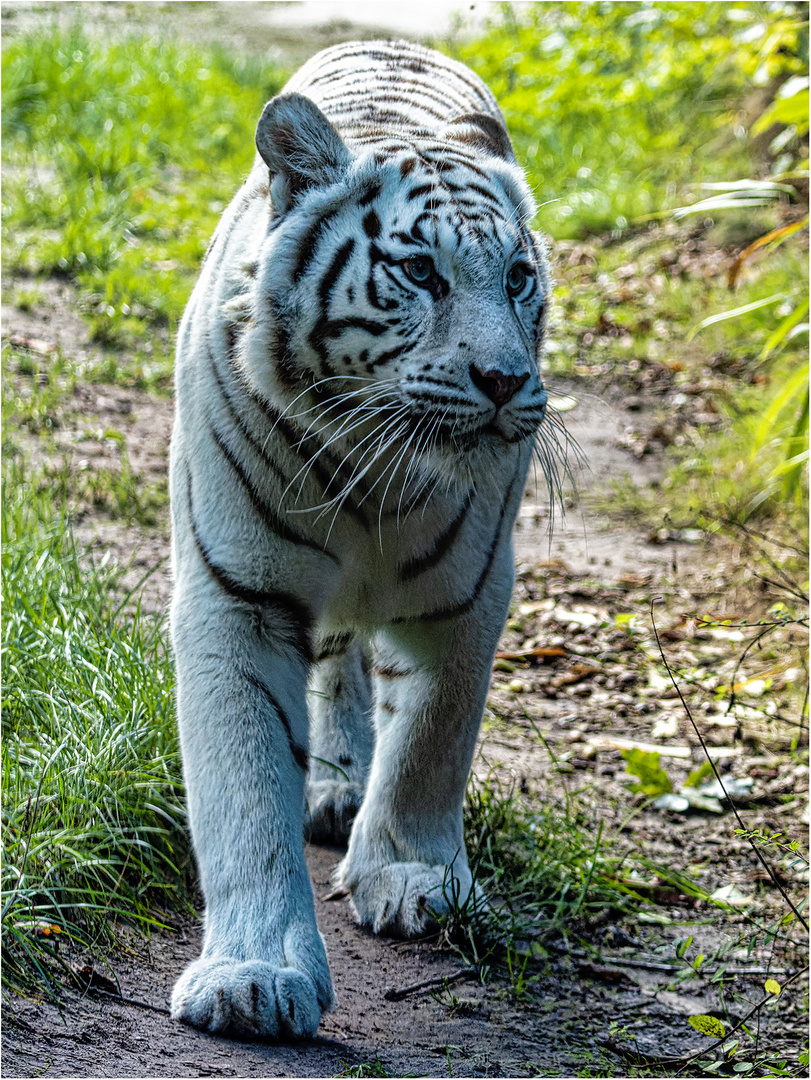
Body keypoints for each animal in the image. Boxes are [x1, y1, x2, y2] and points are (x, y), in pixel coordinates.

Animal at [169, 39, 552, 1036]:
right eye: (419, 273)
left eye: (517, 277)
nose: (506, 380)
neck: (372, 470)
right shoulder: (239, 595)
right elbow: (244, 786)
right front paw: (251, 977)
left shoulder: (467, 593)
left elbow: (430, 744)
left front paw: (411, 878)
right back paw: (333, 784)